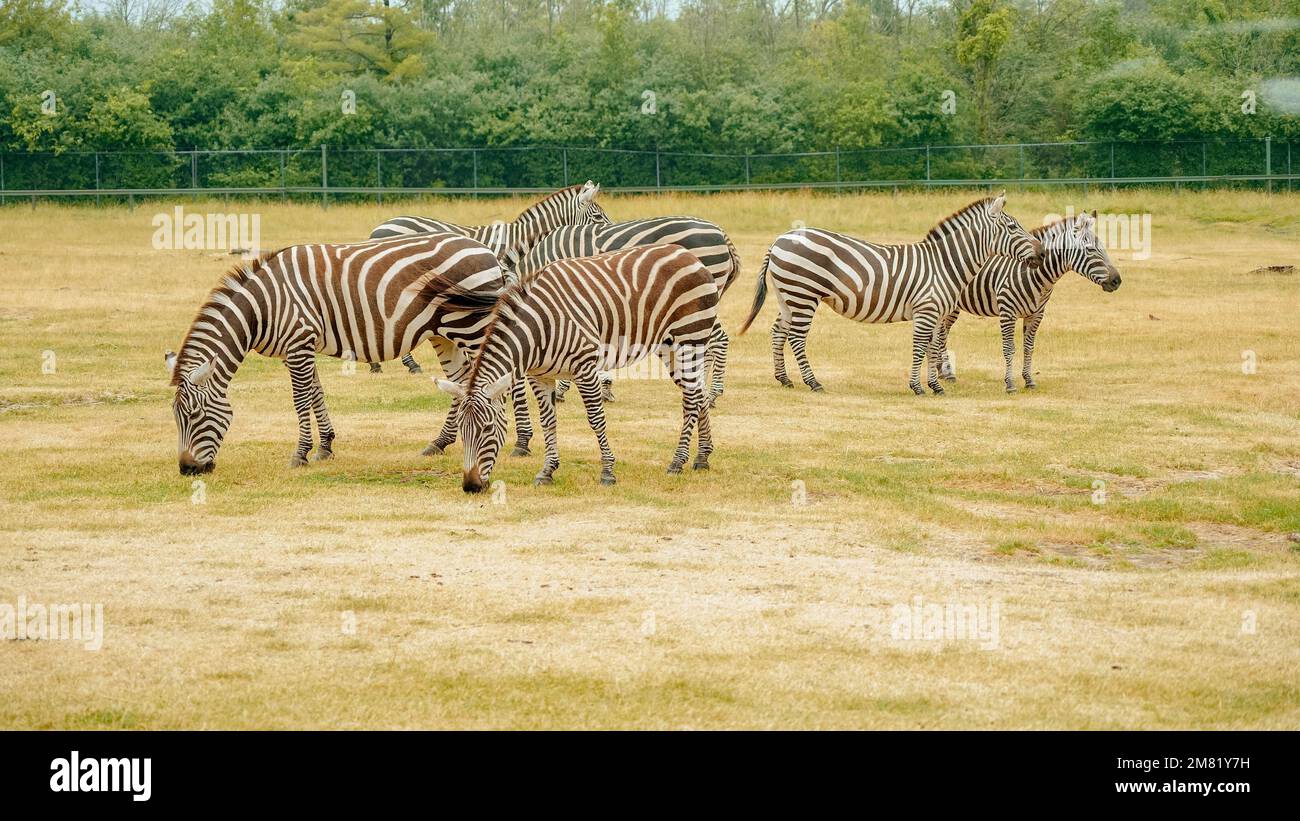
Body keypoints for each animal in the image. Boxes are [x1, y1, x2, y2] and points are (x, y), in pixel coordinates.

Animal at [166, 233, 507, 475]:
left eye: (193, 416)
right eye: (175, 418)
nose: (187, 470)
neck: (263, 307)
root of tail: (485, 249)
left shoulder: (299, 342)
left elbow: (300, 398)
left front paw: (300, 453)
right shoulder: (299, 347)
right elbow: (316, 392)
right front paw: (325, 447)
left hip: (472, 326)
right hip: (444, 333)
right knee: (461, 382)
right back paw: (440, 443)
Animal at [434, 244, 719, 492]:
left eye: (488, 429)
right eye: (461, 431)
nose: (470, 487)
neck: (539, 328)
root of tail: (688, 254)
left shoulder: (586, 369)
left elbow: (596, 419)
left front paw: (607, 472)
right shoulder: (540, 376)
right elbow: (548, 422)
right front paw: (547, 471)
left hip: (689, 339)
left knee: (691, 399)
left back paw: (677, 462)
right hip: (668, 347)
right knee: (699, 393)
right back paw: (702, 458)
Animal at [737, 193, 1043, 395]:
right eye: (1013, 227)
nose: (1041, 253)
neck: (944, 264)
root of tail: (779, 239)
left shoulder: (936, 314)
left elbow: (933, 348)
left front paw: (935, 386)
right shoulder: (926, 310)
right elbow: (920, 347)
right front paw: (917, 387)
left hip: (788, 296)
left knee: (778, 331)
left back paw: (784, 379)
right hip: (804, 294)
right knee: (797, 338)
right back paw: (813, 382)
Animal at [935, 210, 1122, 393]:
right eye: (1090, 250)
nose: (1117, 281)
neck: (1036, 275)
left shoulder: (1036, 314)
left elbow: (1029, 347)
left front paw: (1029, 380)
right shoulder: (1007, 313)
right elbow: (1009, 348)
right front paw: (1010, 384)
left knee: (941, 333)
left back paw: (941, 370)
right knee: (942, 334)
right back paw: (947, 372)